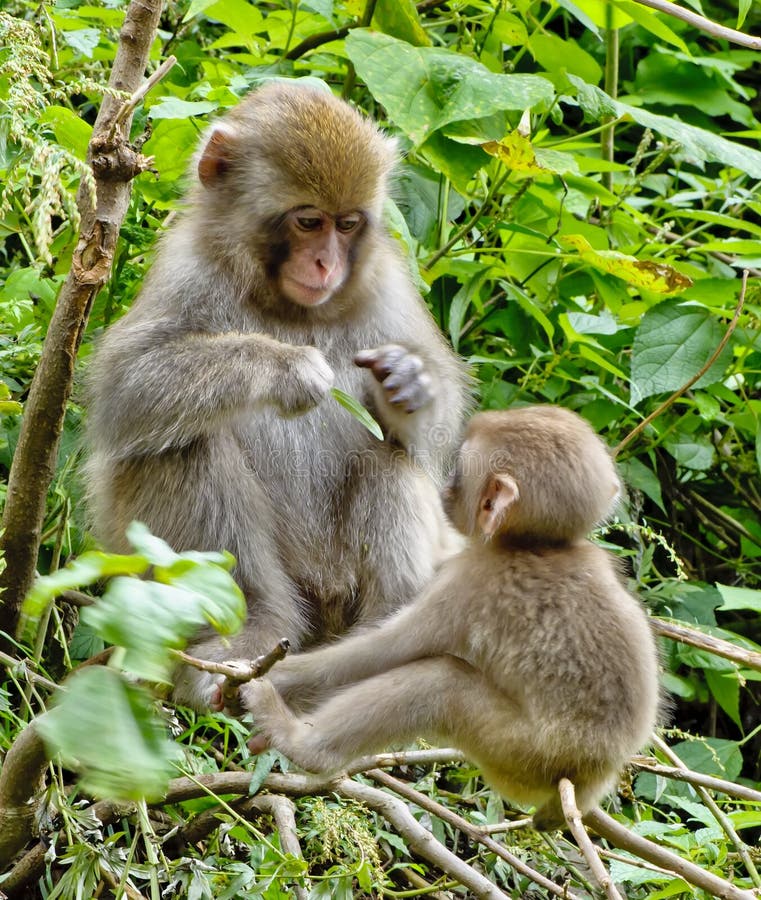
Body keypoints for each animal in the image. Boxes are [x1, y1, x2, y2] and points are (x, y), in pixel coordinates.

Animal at [84, 80, 470, 710]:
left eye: (348, 224)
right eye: (309, 221)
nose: (327, 264)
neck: (285, 305)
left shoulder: (386, 284)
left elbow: (435, 437)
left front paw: (410, 382)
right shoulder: (186, 270)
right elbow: (126, 387)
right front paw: (286, 368)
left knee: (390, 459)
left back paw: (386, 635)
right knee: (180, 444)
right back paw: (245, 637)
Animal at [242, 406, 661, 830]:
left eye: (459, 470)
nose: (444, 489)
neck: (538, 546)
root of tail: (595, 775)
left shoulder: (472, 580)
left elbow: (381, 651)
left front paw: (254, 673)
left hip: (522, 752)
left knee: (439, 684)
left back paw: (300, 743)